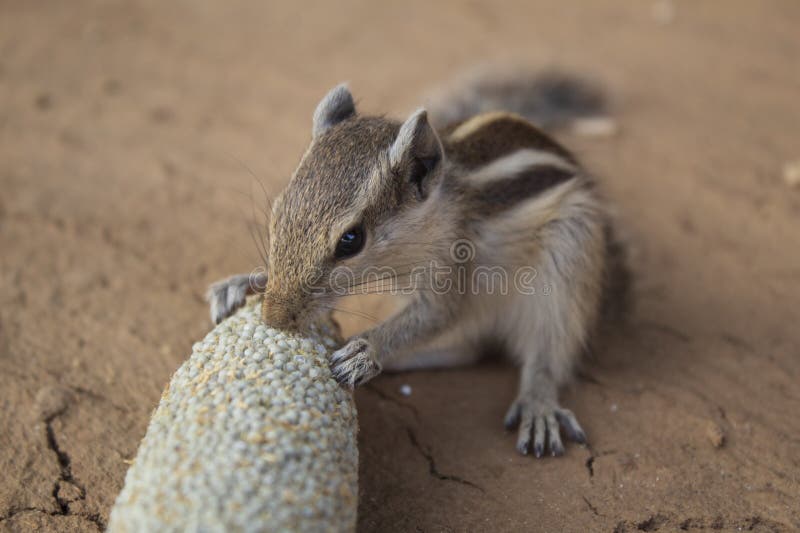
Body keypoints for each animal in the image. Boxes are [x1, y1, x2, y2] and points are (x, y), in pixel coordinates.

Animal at [206, 69, 628, 457]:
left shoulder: (452, 267)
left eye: (351, 240)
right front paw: (244, 282)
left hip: (569, 262)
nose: (274, 318)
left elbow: (435, 316)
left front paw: (367, 350)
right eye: (278, 209)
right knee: (468, 348)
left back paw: (538, 406)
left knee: (544, 352)